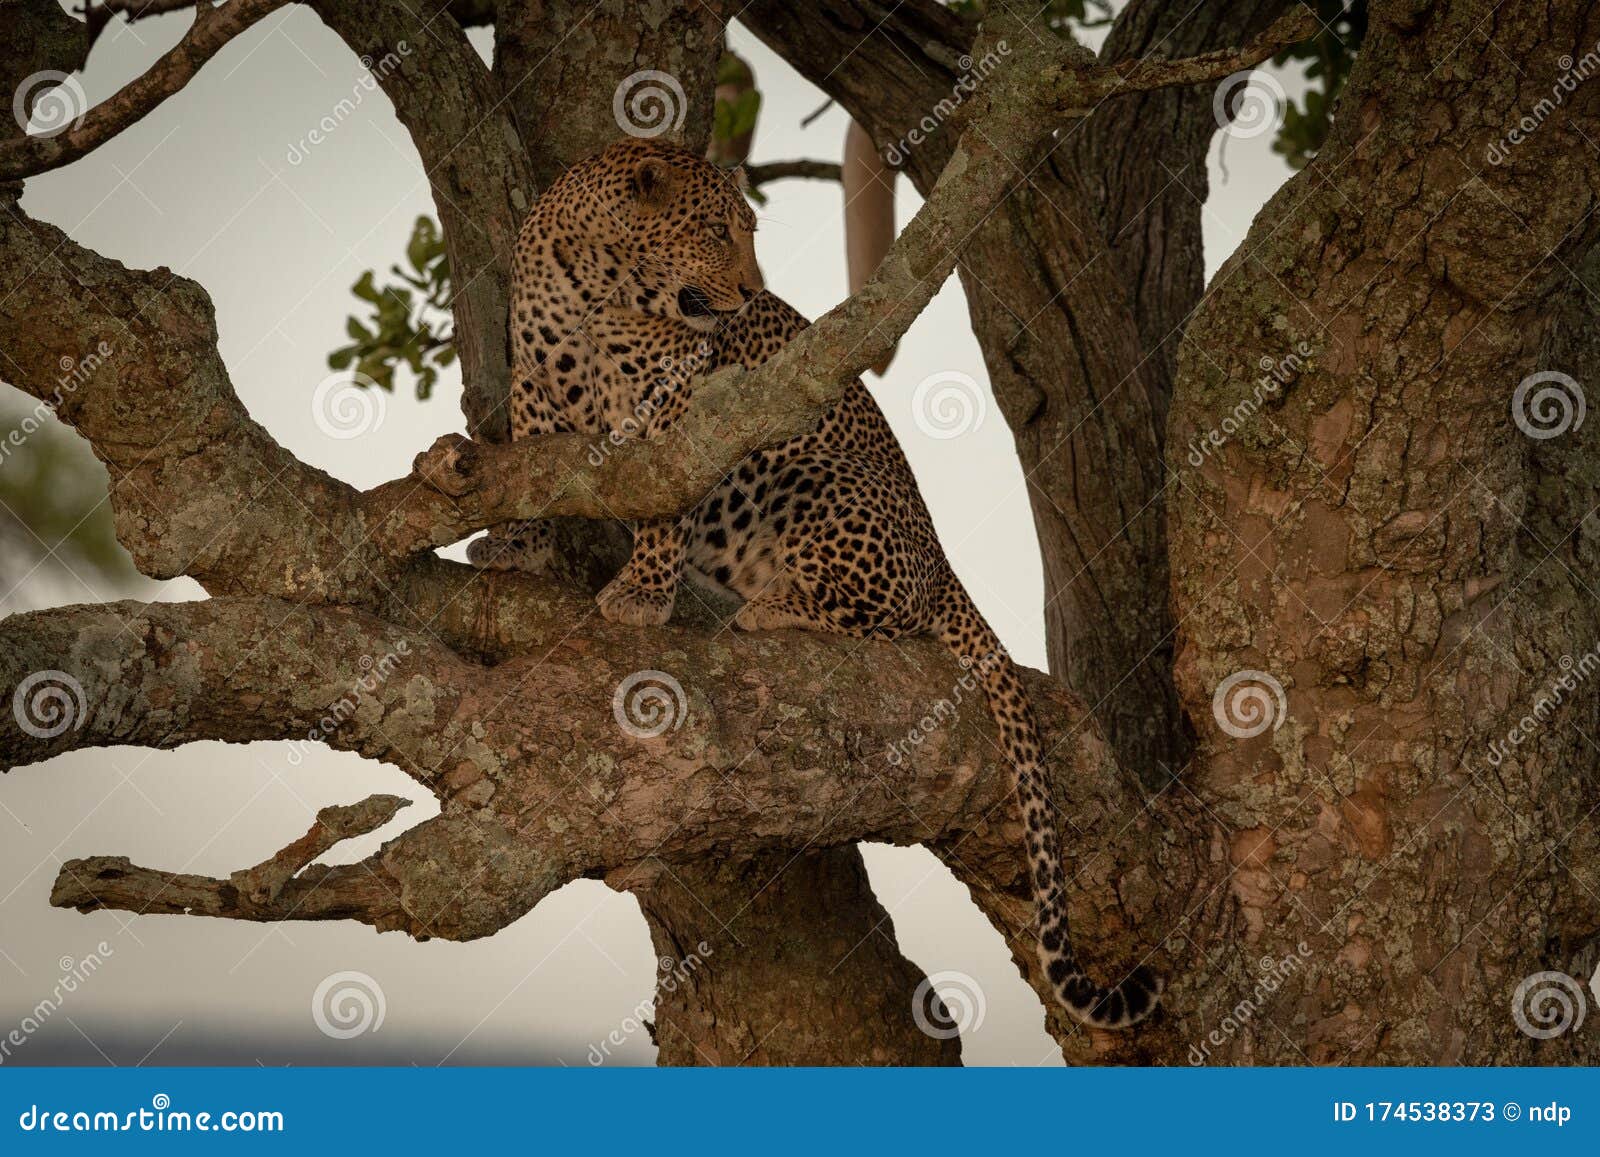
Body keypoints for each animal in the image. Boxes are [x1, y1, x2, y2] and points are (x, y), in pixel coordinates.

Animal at [471, 137, 1162, 1029]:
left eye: (747, 231)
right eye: (715, 231)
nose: (749, 292)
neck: (597, 284)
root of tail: (942, 556)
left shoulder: (675, 409)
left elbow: (663, 503)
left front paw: (643, 591)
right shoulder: (532, 386)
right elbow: (526, 469)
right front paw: (517, 545)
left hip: (813, 475)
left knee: (889, 612)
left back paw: (772, 608)